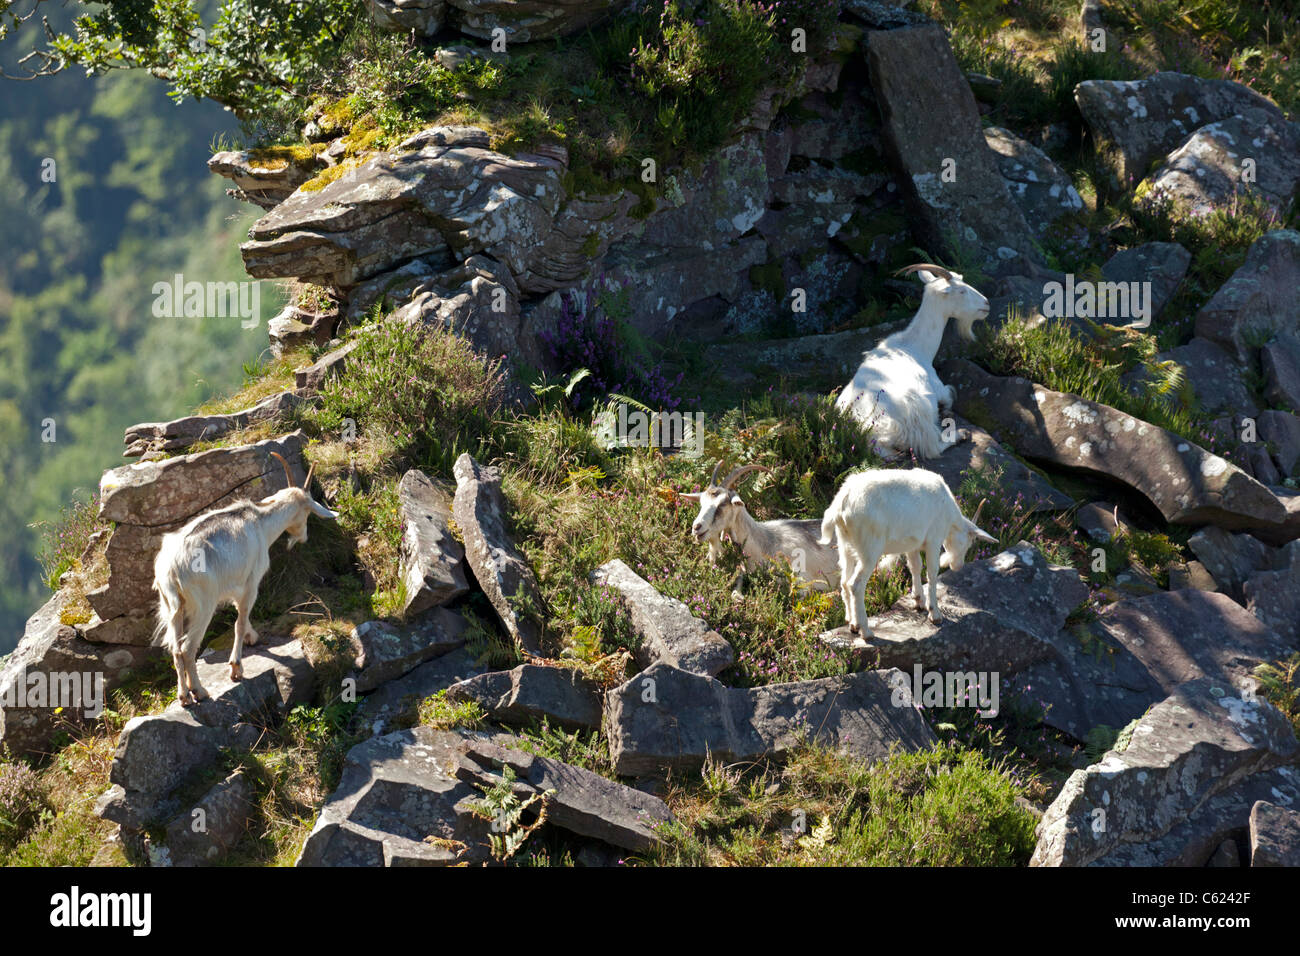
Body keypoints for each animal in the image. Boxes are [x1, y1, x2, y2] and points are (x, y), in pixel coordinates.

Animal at [153, 451, 337, 705]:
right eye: (307, 512)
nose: (304, 537)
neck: (260, 522)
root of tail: (171, 568)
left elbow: (241, 616)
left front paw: (253, 637)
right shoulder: (251, 581)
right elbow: (239, 621)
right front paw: (236, 668)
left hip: (171, 605)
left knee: (174, 648)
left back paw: (184, 695)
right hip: (203, 604)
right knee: (187, 648)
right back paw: (199, 691)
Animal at [818, 468, 995, 637]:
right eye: (969, 543)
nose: (958, 566)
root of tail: (842, 504)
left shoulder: (912, 544)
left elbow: (916, 567)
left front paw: (919, 601)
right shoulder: (934, 540)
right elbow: (932, 573)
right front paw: (934, 614)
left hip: (845, 544)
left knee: (844, 582)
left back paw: (853, 624)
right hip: (869, 548)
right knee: (855, 585)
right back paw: (866, 632)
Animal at [835, 264, 989, 459]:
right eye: (961, 291)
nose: (986, 303)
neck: (913, 347)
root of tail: (870, 434)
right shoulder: (937, 387)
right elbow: (949, 396)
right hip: (919, 414)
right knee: (932, 447)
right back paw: (961, 434)